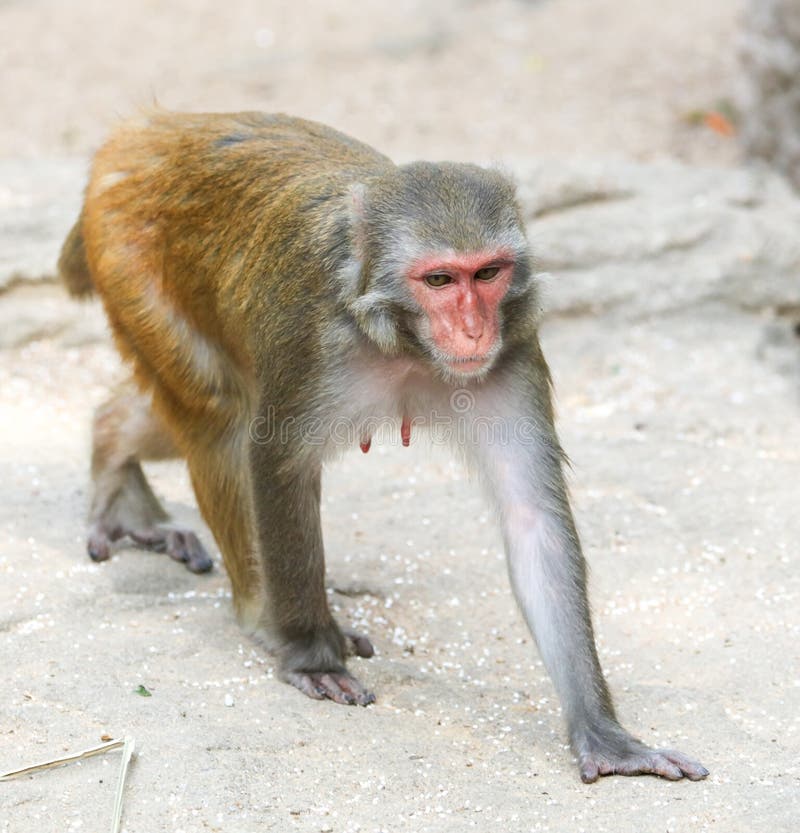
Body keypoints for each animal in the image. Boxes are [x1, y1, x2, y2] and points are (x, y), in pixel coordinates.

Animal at [58, 110, 708, 783]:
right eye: (440, 280)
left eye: (489, 272)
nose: (474, 329)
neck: (403, 339)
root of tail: (145, 132)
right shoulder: (313, 341)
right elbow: (276, 465)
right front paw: (309, 653)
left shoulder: (515, 346)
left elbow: (533, 520)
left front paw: (605, 736)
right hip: (129, 253)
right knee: (220, 414)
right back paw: (259, 612)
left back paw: (114, 451)